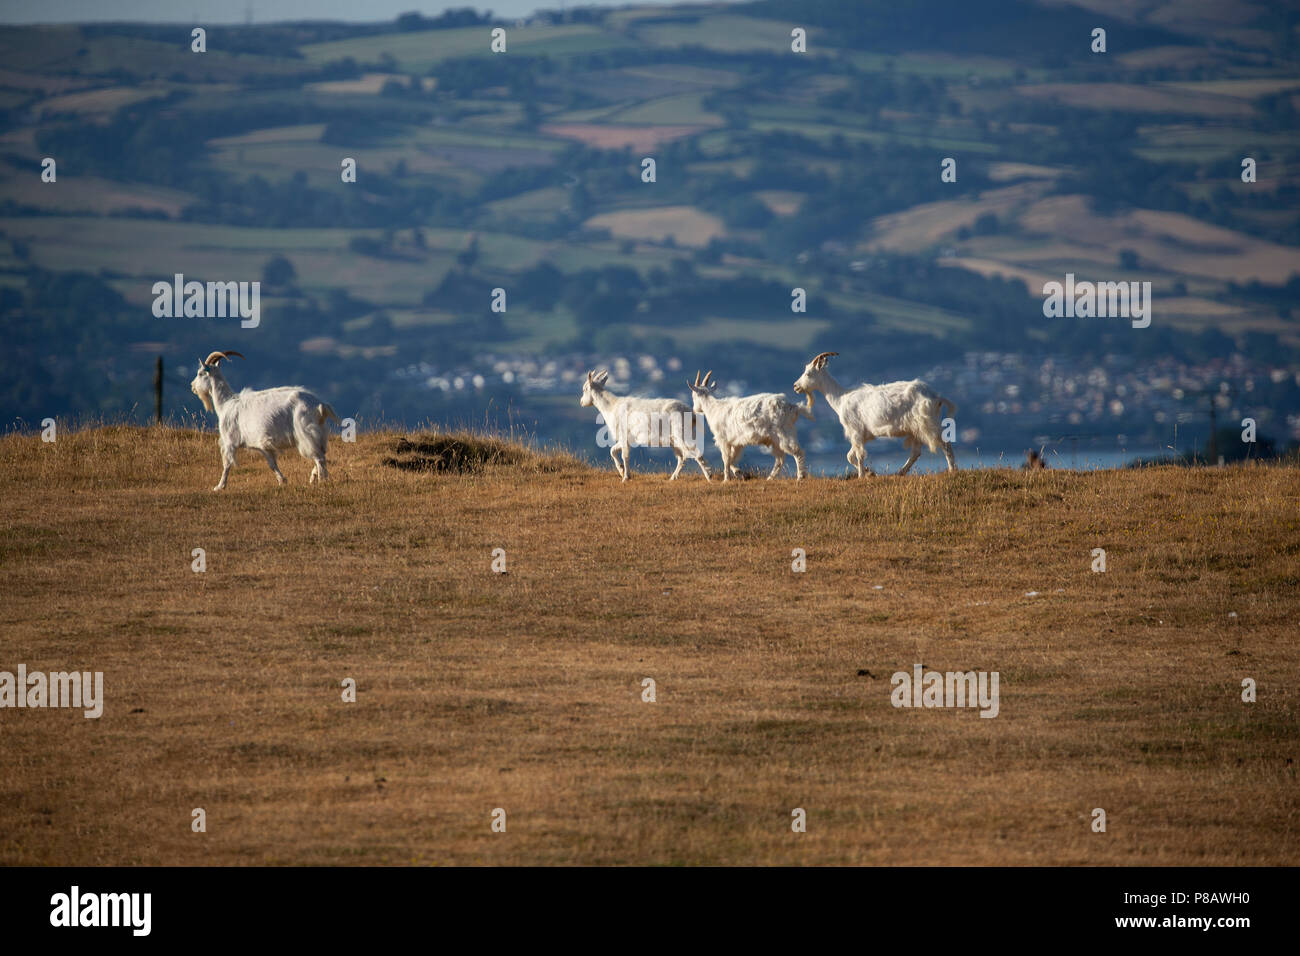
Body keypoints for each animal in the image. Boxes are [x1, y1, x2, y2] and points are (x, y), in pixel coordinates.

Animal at [190, 351, 340, 491]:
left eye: (200, 373)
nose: (192, 387)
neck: (226, 404)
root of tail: (320, 404)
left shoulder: (229, 441)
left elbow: (227, 464)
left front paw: (219, 486)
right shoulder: (262, 445)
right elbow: (272, 464)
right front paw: (282, 481)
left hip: (305, 431)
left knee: (319, 457)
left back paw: (321, 481)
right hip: (319, 433)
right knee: (321, 454)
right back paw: (314, 477)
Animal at [580, 368, 710, 481]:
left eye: (585, 389)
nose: (581, 402)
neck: (612, 407)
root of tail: (691, 413)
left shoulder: (624, 435)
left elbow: (624, 456)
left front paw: (625, 478)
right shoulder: (626, 439)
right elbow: (612, 450)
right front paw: (622, 471)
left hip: (681, 434)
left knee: (694, 452)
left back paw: (709, 476)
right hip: (674, 439)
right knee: (682, 456)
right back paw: (673, 478)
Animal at [793, 351, 956, 476]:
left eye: (808, 373)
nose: (796, 386)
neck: (841, 398)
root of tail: (936, 396)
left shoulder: (855, 431)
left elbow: (858, 455)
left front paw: (861, 476)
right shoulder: (863, 435)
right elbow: (850, 456)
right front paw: (870, 472)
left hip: (927, 422)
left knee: (945, 443)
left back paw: (952, 470)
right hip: (915, 428)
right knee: (916, 452)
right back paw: (900, 472)